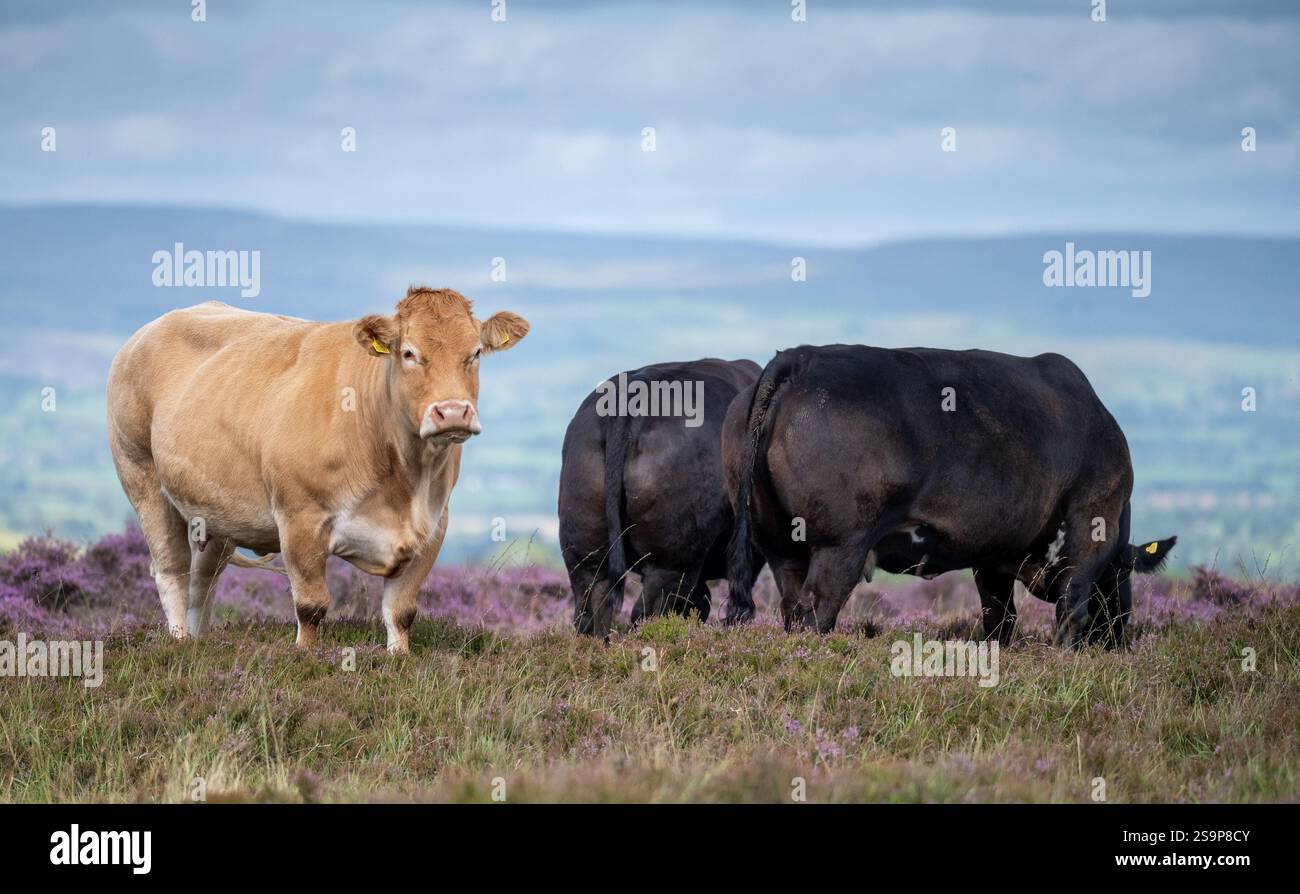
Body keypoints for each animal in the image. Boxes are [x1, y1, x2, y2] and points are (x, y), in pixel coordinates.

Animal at [106, 288, 529, 652]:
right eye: (409, 353)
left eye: (475, 352)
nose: (453, 412)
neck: (404, 481)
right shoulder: (300, 520)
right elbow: (311, 607)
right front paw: (305, 656)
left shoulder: (432, 527)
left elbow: (401, 611)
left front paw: (399, 657)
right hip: (142, 476)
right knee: (171, 570)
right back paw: (179, 642)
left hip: (215, 512)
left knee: (203, 579)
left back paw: (199, 643)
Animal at [722, 345, 1176, 648]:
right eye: (1124, 573)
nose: (1117, 638)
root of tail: (802, 357)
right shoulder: (1090, 530)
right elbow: (1070, 613)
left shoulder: (992, 557)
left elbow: (1000, 619)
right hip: (839, 545)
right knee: (816, 611)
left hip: (780, 545)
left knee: (791, 607)